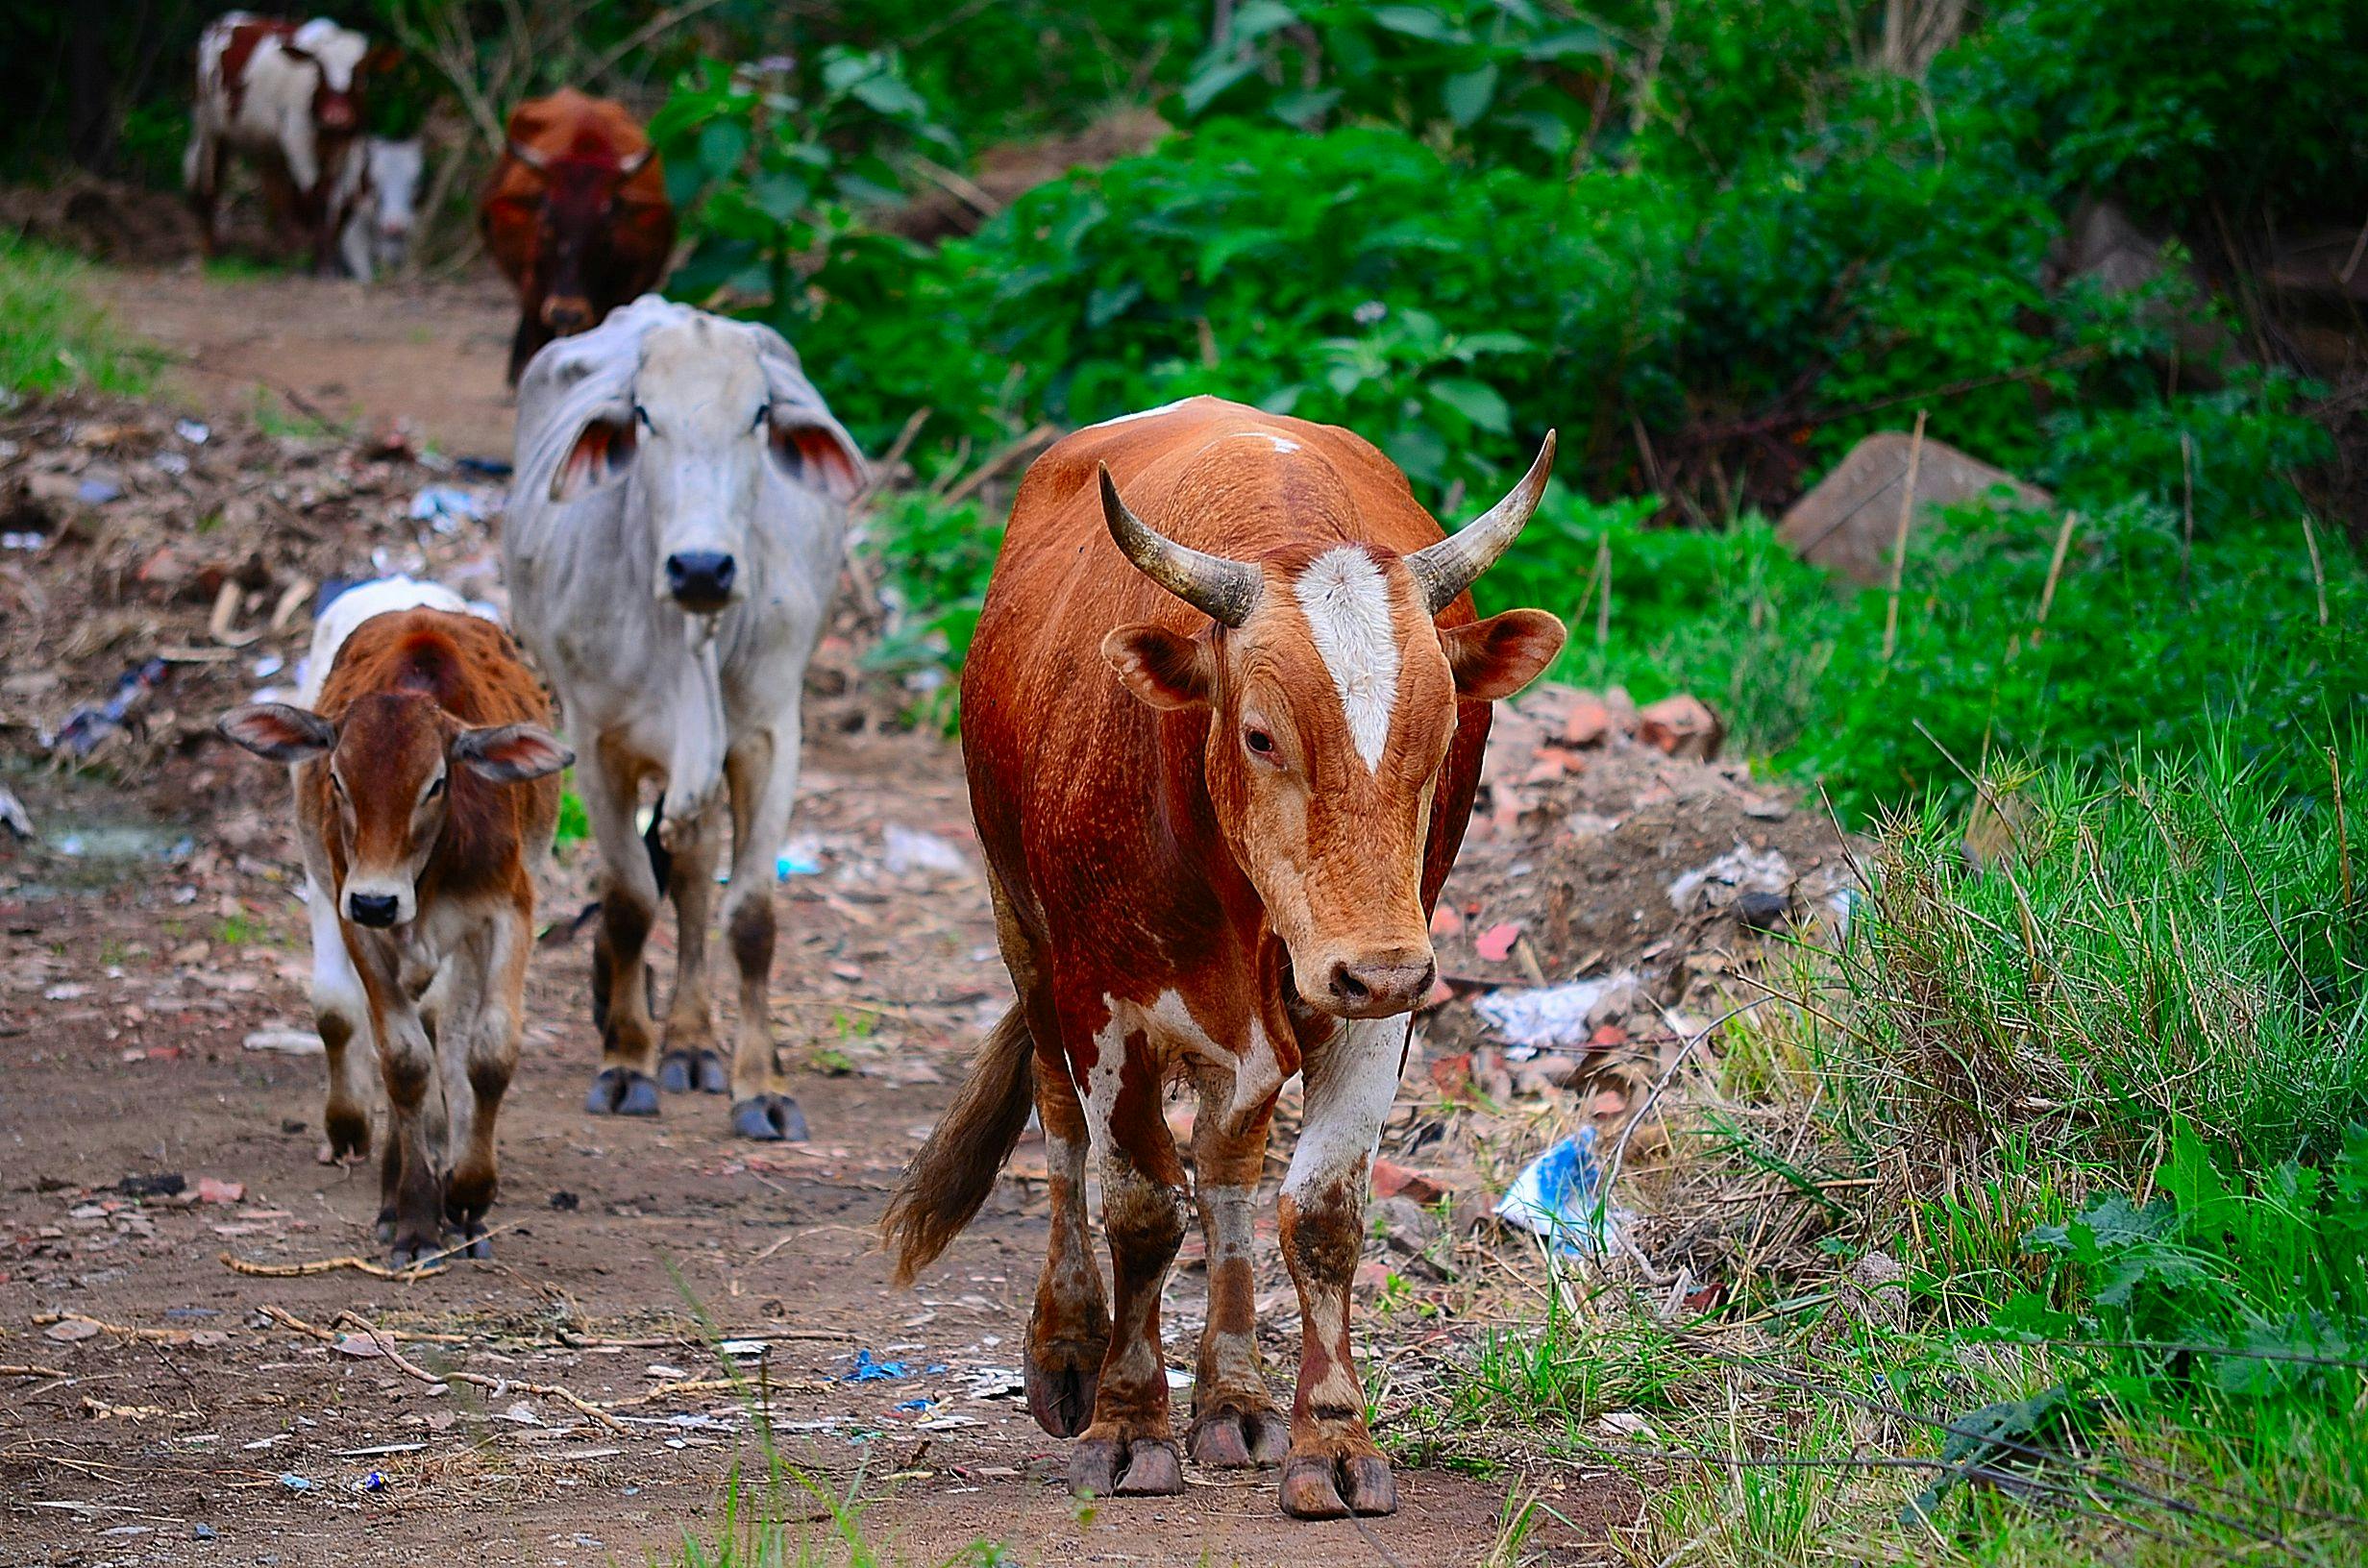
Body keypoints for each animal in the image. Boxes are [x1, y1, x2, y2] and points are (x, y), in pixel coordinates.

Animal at [185, 13, 384, 275]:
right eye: (319, 69)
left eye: (359, 71)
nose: (337, 115)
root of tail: (228, 19)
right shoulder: (297, 141)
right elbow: (315, 194)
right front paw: (321, 263)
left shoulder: (351, 146)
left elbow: (336, 199)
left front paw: (326, 256)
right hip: (209, 127)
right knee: (210, 178)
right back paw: (211, 248)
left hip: (265, 146)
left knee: (277, 194)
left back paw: (284, 250)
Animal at [217, 581, 571, 1267]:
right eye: (336, 778)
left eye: (435, 783)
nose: (378, 901)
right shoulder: (354, 914)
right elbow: (403, 1061)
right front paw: (412, 1215)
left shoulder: (508, 911)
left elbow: (488, 1052)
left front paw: (469, 1192)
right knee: (377, 1028)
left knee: (444, 1030)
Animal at [503, 297, 865, 1143]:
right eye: (644, 416)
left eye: (759, 415)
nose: (702, 567)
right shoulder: (596, 743)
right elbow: (631, 900)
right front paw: (625, 1061)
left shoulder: (771, 736)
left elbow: (752, 916)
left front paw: (761, 1086)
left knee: (698, 872)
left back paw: (695, 1041)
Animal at [882, 397, 1567, 1519]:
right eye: (1259, 735)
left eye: (1442, 734)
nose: (1379, 966)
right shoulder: (1101, 1001)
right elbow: (1139, 1206)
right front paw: (1126, 1422)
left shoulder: (1377, 997)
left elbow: (1319, 1214)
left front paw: (1330, 1437)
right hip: (1020, 930)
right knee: (1065, 1133)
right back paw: (1069, 1349)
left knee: (1228, 1163)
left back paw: (1234, 1395)